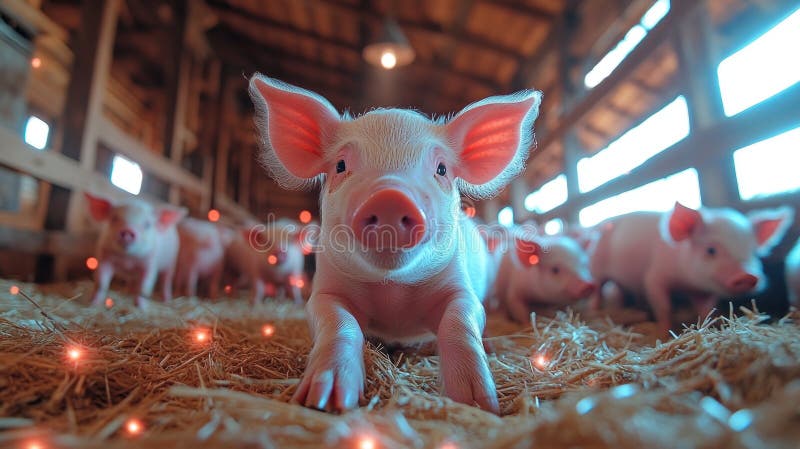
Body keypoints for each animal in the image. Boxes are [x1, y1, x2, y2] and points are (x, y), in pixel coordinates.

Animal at [249, 74, 541, 413]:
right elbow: (339, 323)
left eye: (441, 169)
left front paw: (476, 403)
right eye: (340, 165)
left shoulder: (460, 286)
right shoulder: (325, 291)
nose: (390, 197)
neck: (393, 295)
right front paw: (323, 401)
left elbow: (461, 322)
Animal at [590, 202, 794, 334]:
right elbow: (664, 307)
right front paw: (663, 333)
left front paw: (707, 329)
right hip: (597, 266)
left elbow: (706, 309)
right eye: (711, 250)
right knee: (598, 287)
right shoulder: (654, 277)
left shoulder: (706, 291)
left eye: (753, 252)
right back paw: (596, 309)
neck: (685, 284)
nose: (748, 276)